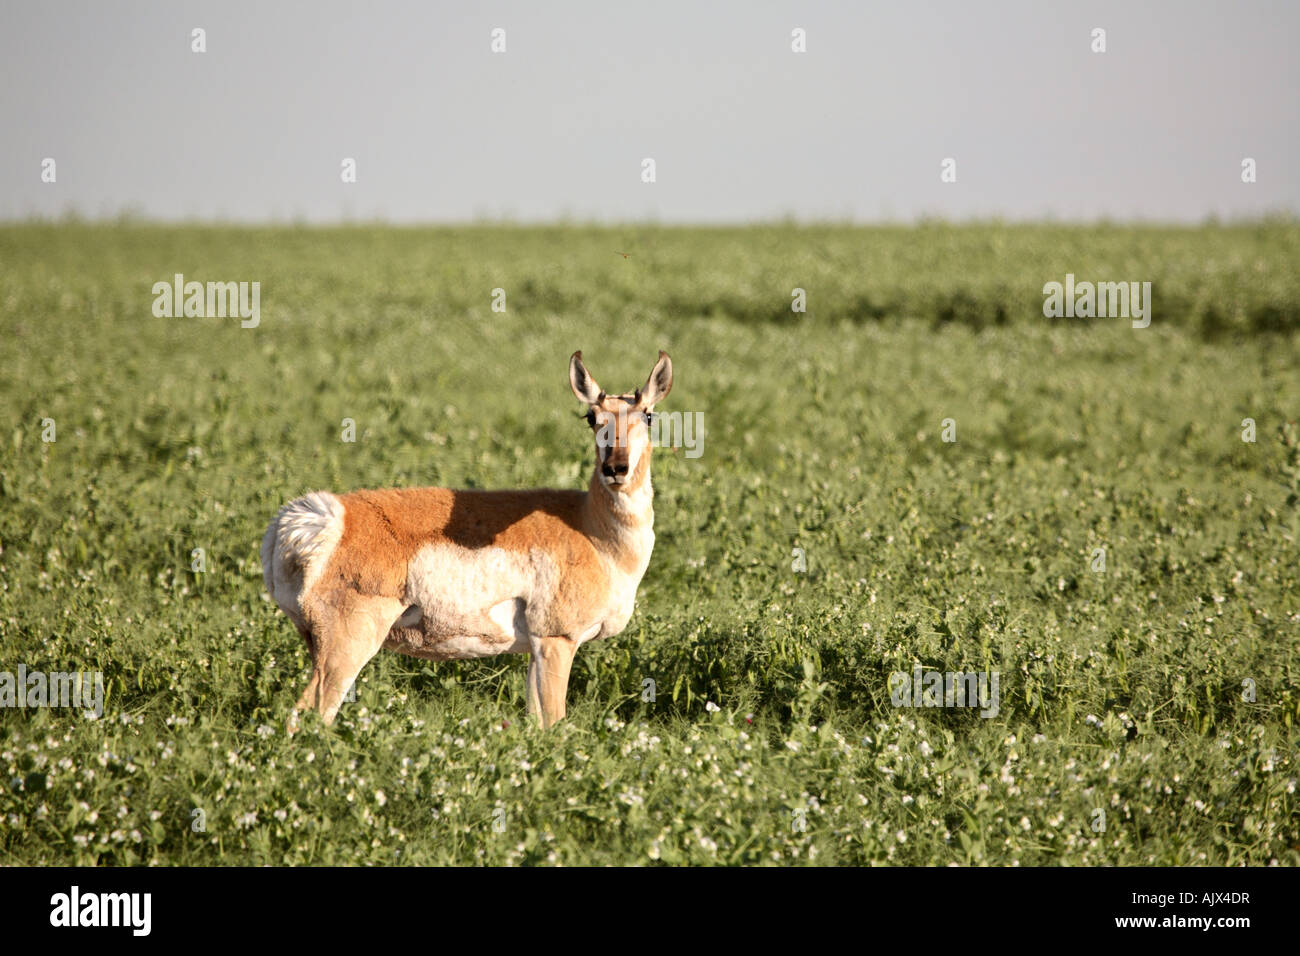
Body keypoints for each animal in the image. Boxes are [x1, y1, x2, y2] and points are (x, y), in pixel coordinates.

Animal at [261, 350, 672, 731]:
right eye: (591, 417)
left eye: (648, 415)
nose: (615, 468)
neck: (590, 528)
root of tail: (322, 517)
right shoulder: (556, 640)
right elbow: (554, 723)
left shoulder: (537, 651)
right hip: (347, 645)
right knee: (308, 714)